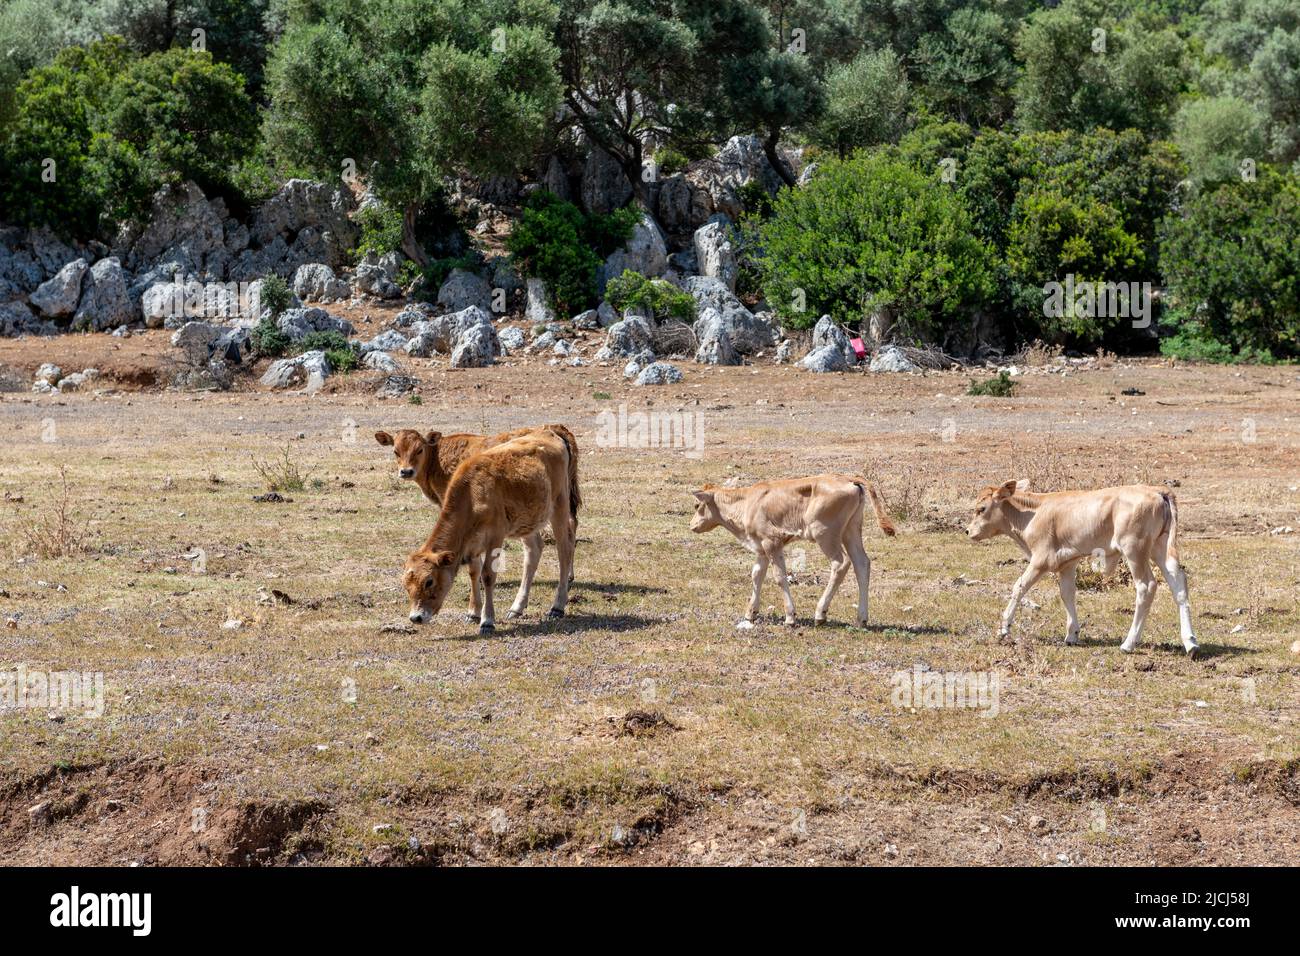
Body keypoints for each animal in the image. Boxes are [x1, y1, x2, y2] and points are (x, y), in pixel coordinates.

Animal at [376, 425, 580, 618]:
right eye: (395, 451)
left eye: (419, 449)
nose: (406, 471)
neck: (437, 456)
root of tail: (554, 431)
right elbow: (474, 569)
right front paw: (474, 610)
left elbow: (486, 571)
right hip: (528, 520)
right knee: (534, 550)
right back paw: (517, 607)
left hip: (560, 505)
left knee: (565, 545)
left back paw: (558, 605)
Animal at [689, 475, 896, 627]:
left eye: (697, 505)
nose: (691, 525)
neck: (748, 502)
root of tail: (847, 479)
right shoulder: (761, 549)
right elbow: (756, 575)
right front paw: (750, 613)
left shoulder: (772, 543)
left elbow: (780, 577)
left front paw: (790, 617)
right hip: (851, 530)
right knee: (862, 563)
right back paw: (861, 619)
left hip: (825, 535)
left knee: (841, 563)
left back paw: (820, 614)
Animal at [965, 480, 1198, 657]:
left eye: (981, 509)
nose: (968, 531)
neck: (1033, 512)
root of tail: (1157, 490)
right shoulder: (1068, 563)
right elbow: (1067, 594)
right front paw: (1072, 635)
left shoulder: (1041, 560)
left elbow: (1019, 587)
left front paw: (1004, 628)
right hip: (1160, 547)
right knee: (1178, 583)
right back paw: (1190, 642)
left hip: (1135, 551)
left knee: (1146, 587)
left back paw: (1128, 643)